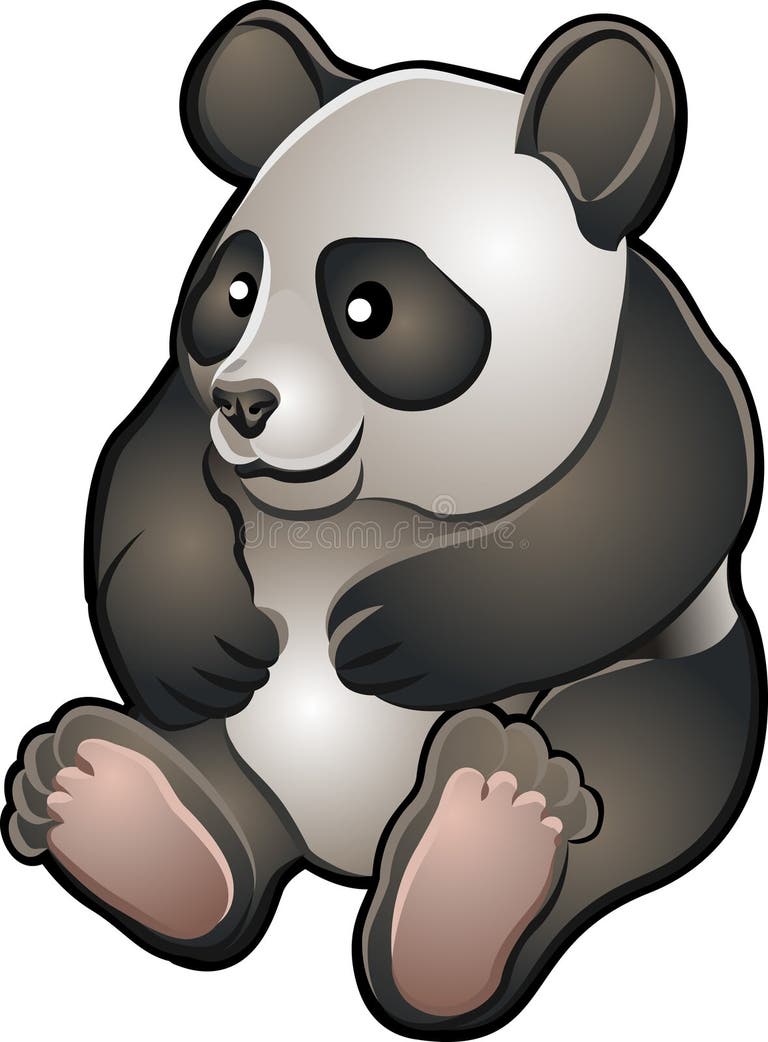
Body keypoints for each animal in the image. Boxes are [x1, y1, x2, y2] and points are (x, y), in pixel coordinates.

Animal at [2, 4, 764, 1037]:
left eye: (372, 308)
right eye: (234, 293)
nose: (246, 402)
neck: (365, 509)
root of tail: (341, 852)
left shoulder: (651, 366)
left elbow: (643, 518)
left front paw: (391, 634)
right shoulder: (185, 411)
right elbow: (150, 476)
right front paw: (202, 634)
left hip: (680, 676)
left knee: (633, 759)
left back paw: (484, 846)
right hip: (233, 740)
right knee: (220, 792)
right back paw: (123, 808)